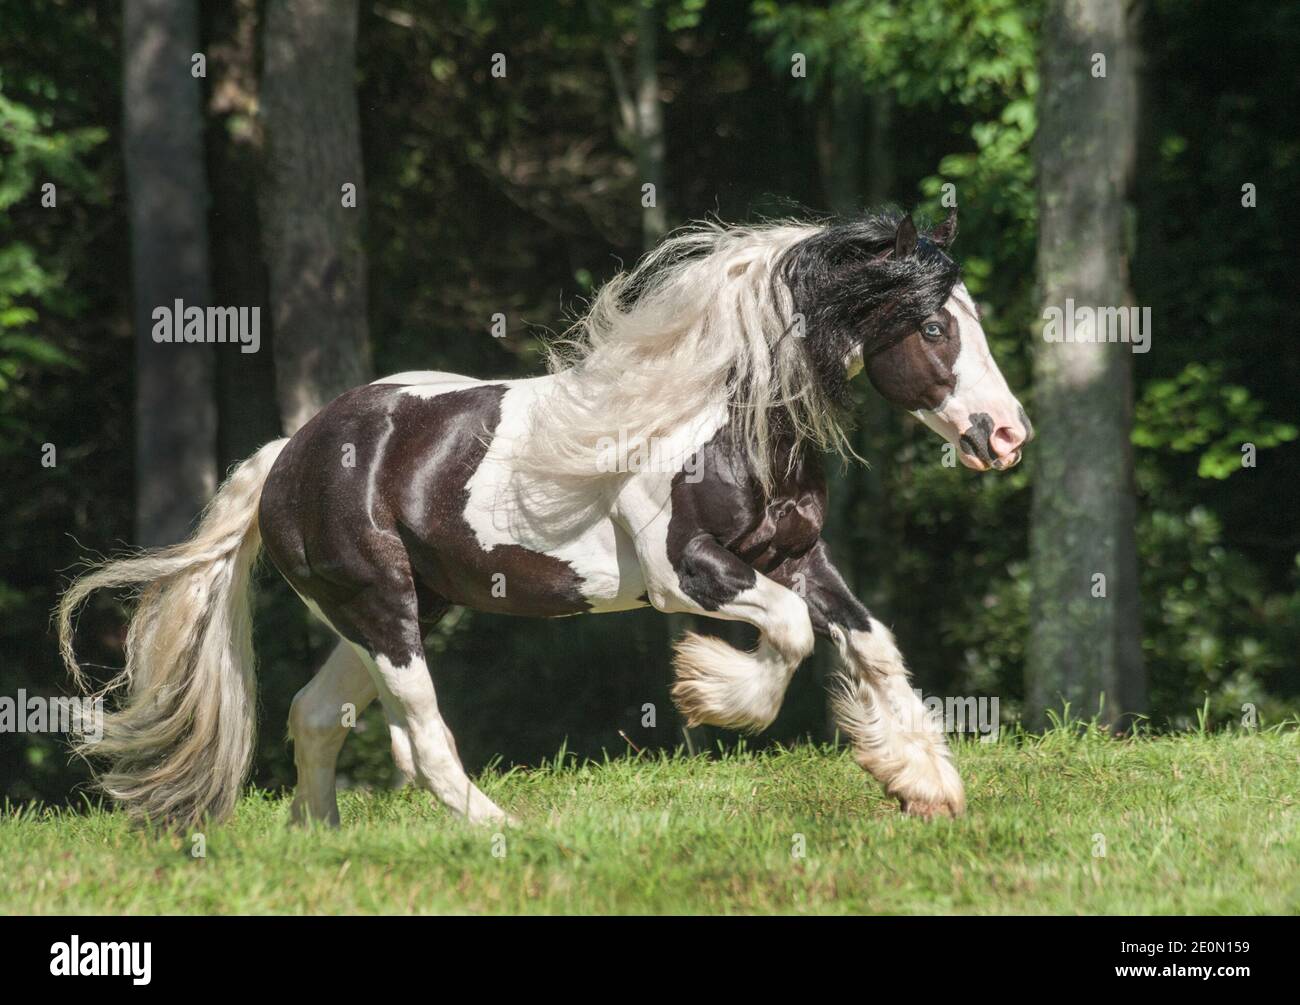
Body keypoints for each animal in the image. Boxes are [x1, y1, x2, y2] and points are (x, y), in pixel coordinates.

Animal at [58, 207, 1031, 829]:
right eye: (936, 327)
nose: (1007, 434)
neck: (720, 418)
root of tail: (290, 454)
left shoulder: (795, 554)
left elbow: (870, 640)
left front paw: (924, 785)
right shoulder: (689, 571)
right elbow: (790, 633)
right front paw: (711, 692)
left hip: (398, 612)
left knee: (315, 712)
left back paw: (321, 841)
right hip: (383, 612)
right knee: (422, 737)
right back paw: (502, 833)